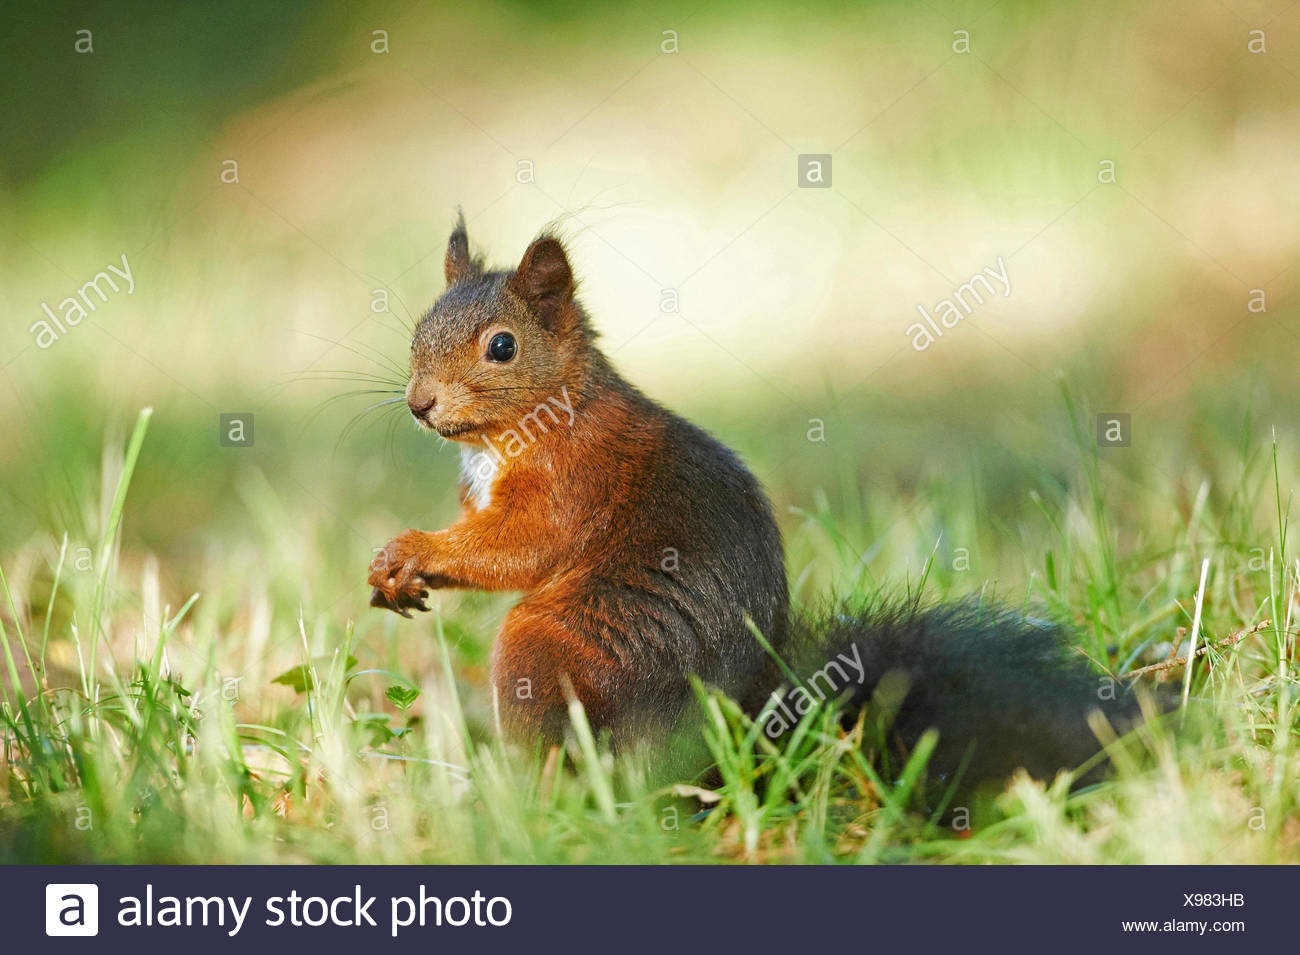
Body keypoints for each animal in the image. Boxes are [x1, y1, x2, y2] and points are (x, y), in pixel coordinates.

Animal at [367, 215, 1146, 792]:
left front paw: (414, 549)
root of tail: (738, 737)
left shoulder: (571, 481)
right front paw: (392, 569)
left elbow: (519, 546)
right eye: (416, 334)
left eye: (502, 346)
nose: (419, 403)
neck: (538, 418)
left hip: (561, 643)